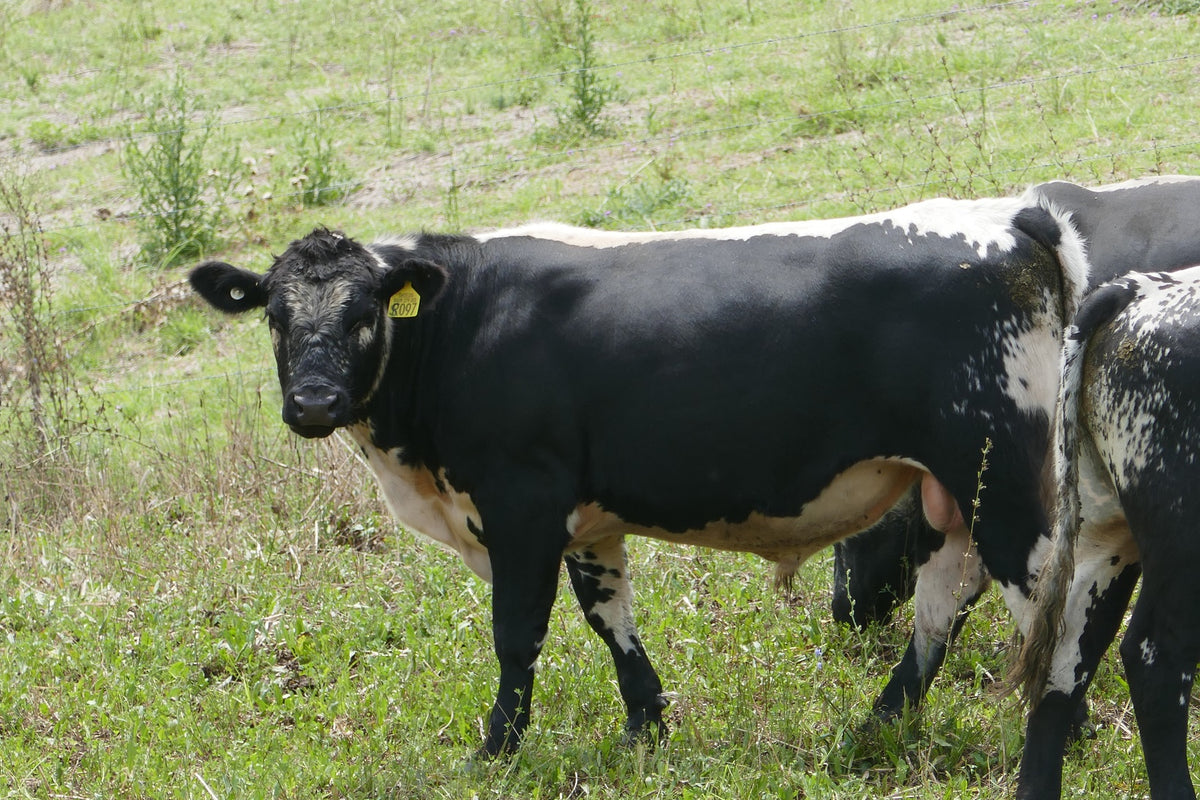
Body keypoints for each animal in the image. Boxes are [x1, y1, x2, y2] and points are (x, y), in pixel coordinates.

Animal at [189, 193, 1086, 757]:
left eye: (364, 315)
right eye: (275, 317)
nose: (312, 401)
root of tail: (1009, 219)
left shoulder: (521, 502)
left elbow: (517, 633)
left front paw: (497, 749)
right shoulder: (585, 519)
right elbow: (608, 618)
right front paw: (645, 727)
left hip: (1010, 484)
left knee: (1048, 599)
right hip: (956, 493)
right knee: (943, 602)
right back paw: (873, 730)